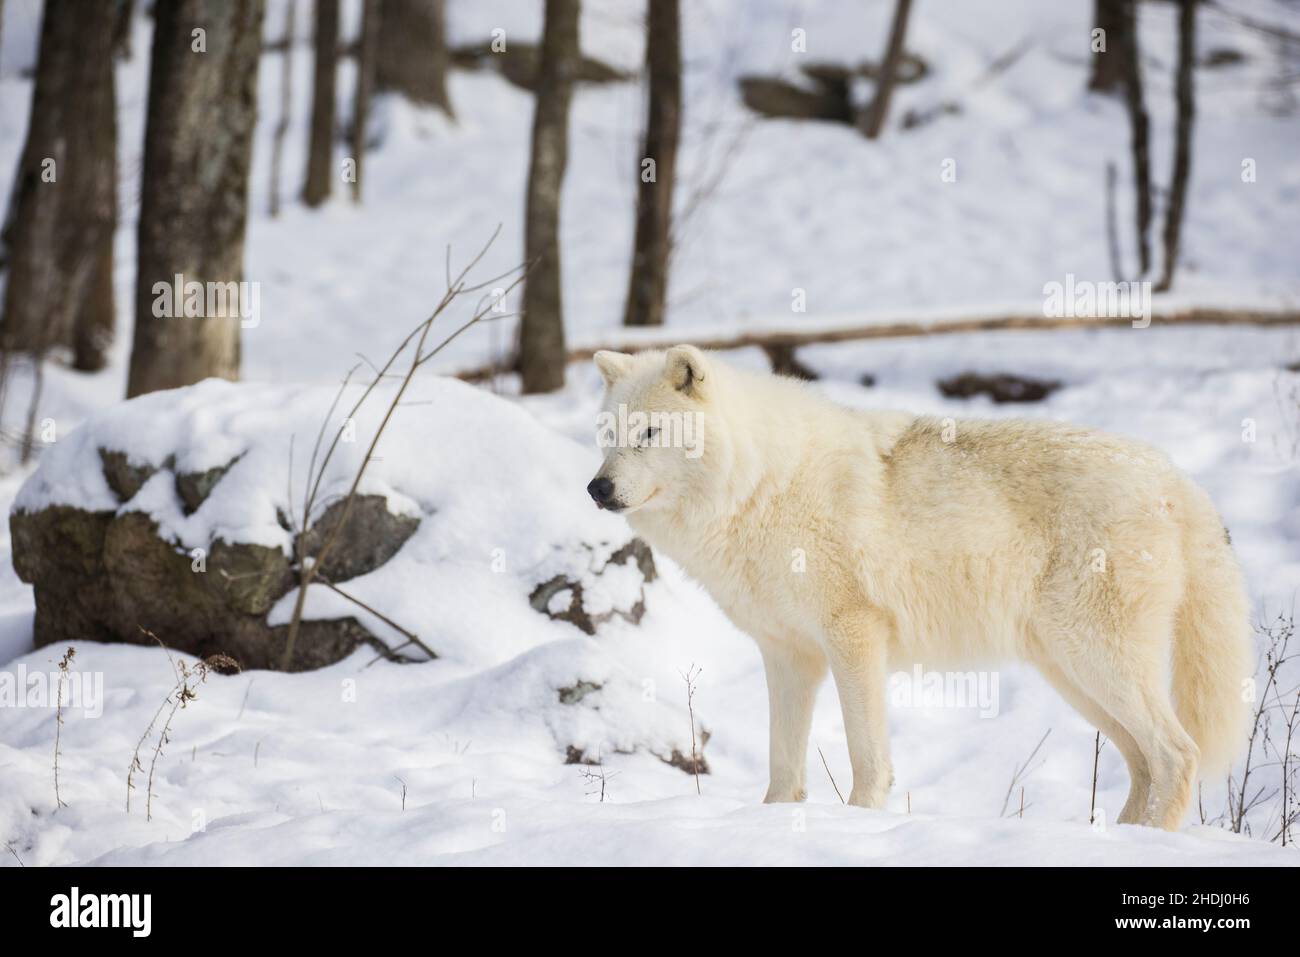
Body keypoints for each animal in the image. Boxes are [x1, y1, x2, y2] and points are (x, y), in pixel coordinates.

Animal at [587, 345, 1254, 830]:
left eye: (650, 433)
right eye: (609, 434)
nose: (596, 488)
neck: (760, 486)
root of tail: (1176, 480)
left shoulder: (853, 635)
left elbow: (867, 758)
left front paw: (859, 825)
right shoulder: (788, 655)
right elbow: (783, 769)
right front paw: (774, 826)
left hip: (1097, 661)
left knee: (1176, 755)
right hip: (1074, 675)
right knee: (1143, 764)